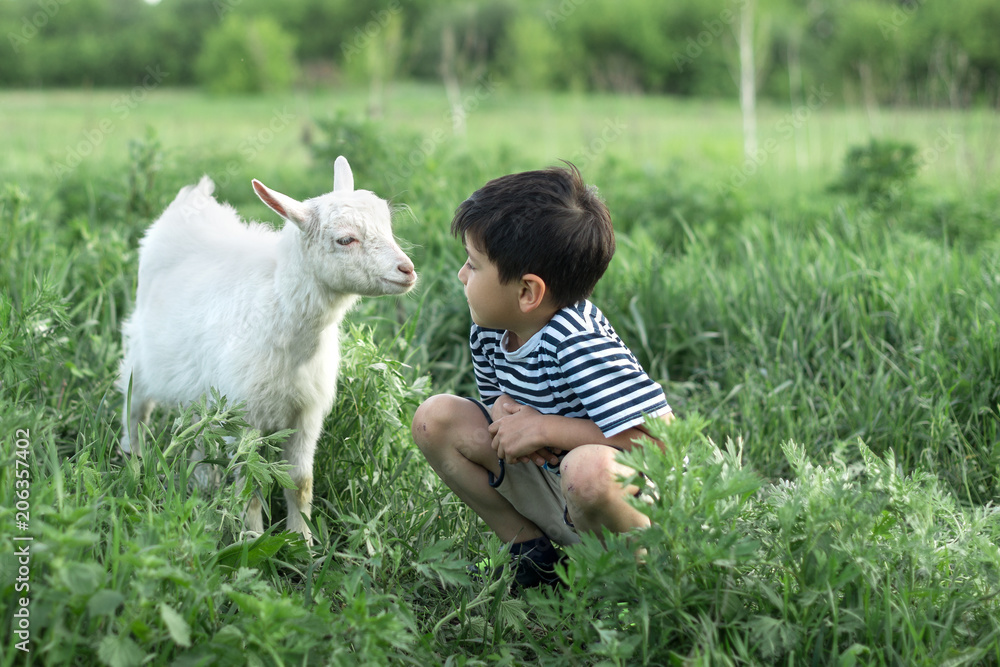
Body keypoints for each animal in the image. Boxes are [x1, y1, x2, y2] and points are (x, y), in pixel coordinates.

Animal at [118, 156, 416, 542]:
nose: (407, 270)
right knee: (135, 411)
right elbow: (248, 483)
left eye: (388, 226)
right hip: (142, 358)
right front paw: (253, 539)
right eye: (345, 239)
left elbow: (300, 482)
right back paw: (134, 463)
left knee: (199, 432)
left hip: (205, 391)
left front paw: (303, 542)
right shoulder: (245, 415)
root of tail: (194, 199)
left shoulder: (306, 414)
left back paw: (201, 482)